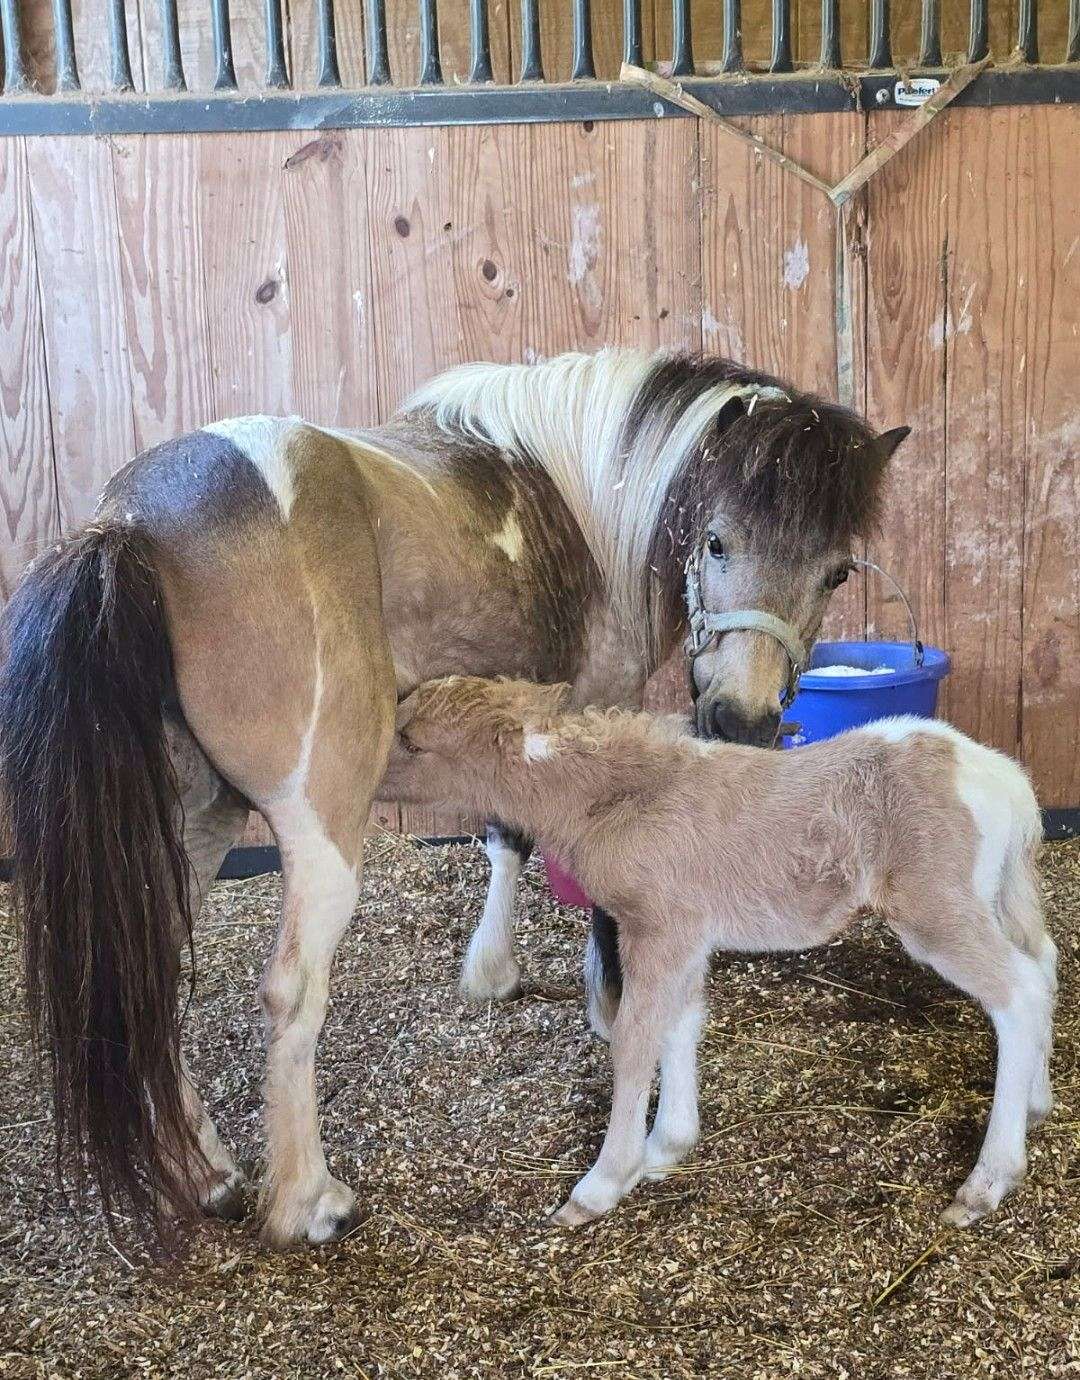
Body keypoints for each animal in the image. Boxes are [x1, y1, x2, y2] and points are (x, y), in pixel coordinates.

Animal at [0, 348, 909, 1249]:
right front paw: (603, 1000)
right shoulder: (592, 705)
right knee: (291, 991)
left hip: (193, 818)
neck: (585, 500)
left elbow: (506, 833)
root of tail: (132, 530)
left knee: (145, 972)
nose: (741, 721)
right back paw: (307, 1202)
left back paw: (205, 1172)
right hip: (318, 826)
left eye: (835, 572)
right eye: (717, 541)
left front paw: (496, 974)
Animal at [386, 675, 1056, 1230]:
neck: (620, 796)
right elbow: (681, 1023)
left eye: (413, 742)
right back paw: (1038, 1102)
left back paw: (987, 1183)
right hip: (995, 895)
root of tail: (1008, 781)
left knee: (1018, 991)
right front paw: (665, 1149)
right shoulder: (686, 935)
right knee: (1044, 962)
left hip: (934, 912)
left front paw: (602, 1184)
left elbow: (635, 1038)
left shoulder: (655, 929)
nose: (369, 783)